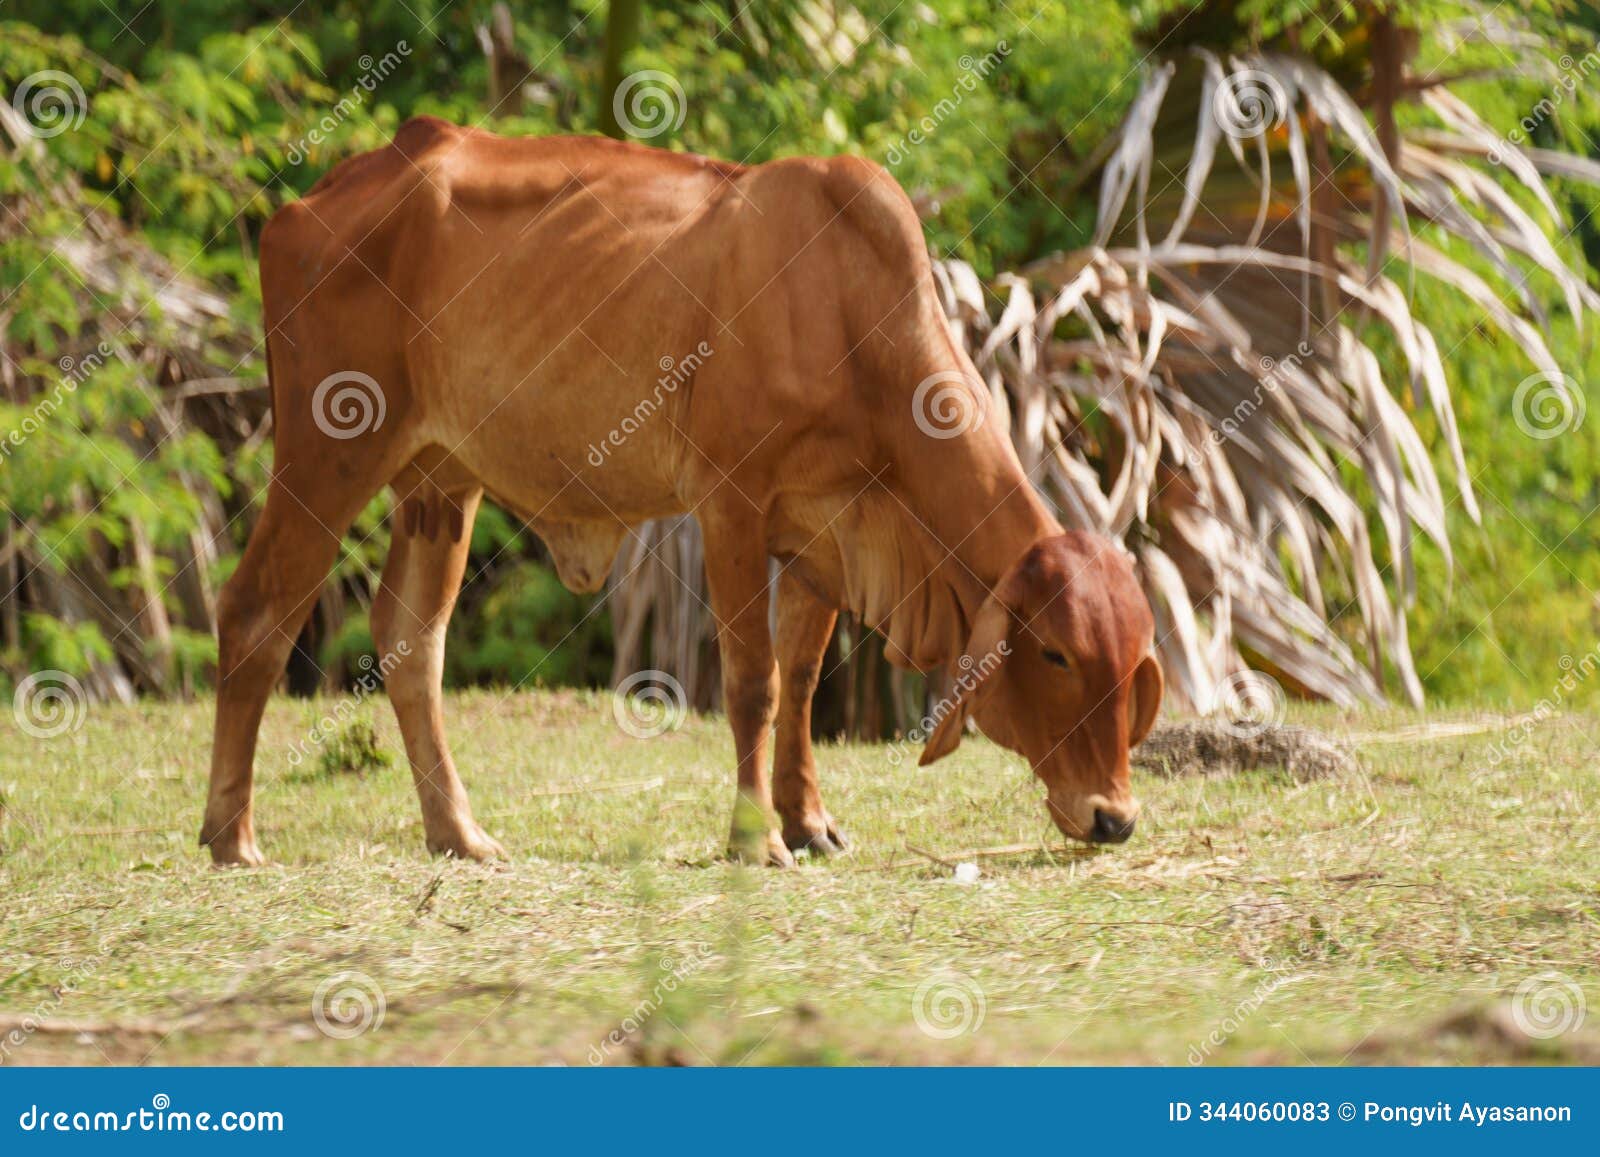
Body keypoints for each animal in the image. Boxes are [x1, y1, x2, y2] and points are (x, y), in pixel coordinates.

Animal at [200, 116, 1164, 867]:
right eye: (1056, 655)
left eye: (1129, 664)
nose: (1114, 819)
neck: (852, 315)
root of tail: (305, 205)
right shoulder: (731, 502)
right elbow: (753, 680)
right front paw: (757, 839)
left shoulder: (825, 528)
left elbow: (801, 672)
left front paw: (808, 822)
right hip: (328, 453)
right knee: (255, 610)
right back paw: (233, 836)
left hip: (441, 480)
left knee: (413, 639)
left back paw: (459, 834)